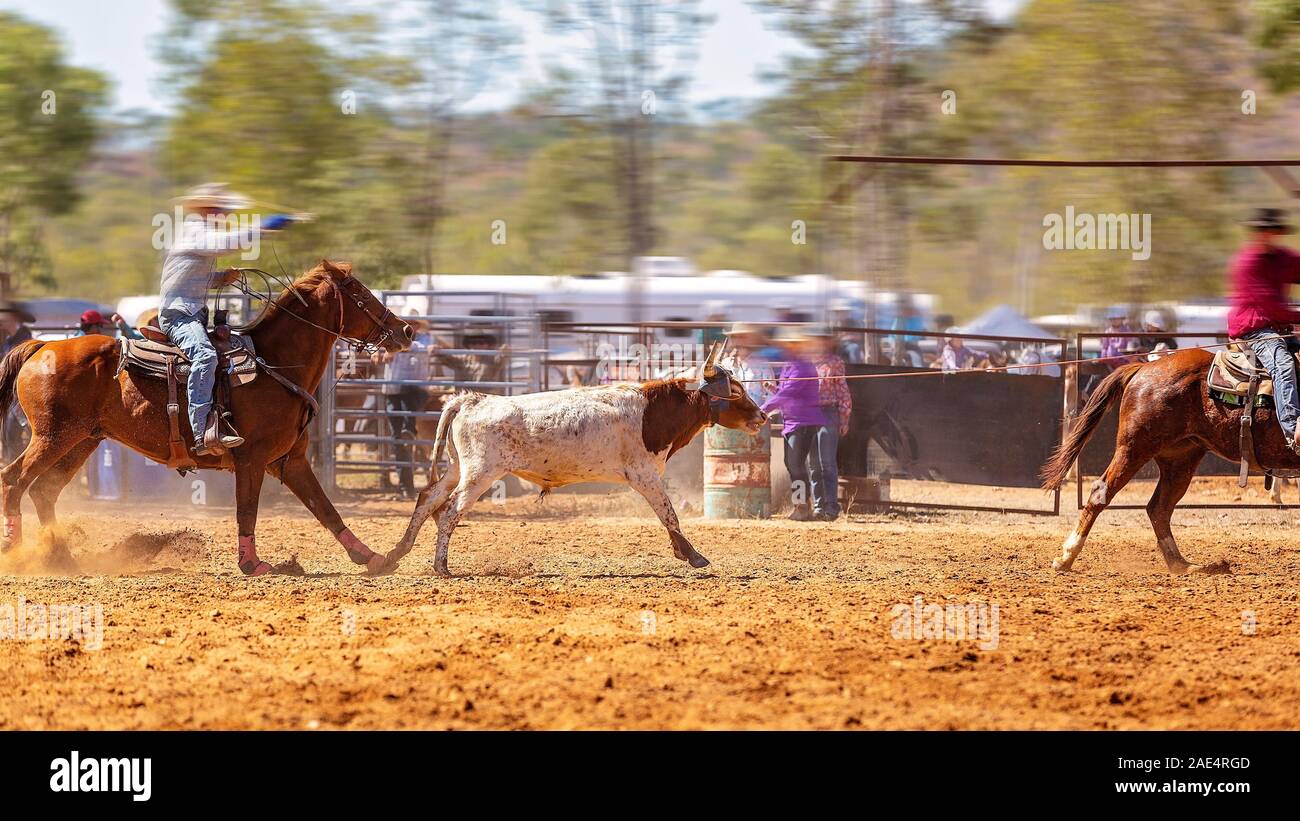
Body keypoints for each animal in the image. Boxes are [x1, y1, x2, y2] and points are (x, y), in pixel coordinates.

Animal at [380, 341, 767, 576]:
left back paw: (395, 554)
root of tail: (472, 400)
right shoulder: (644, 475)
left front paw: (683, 552)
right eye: (736, 391)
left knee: (426, 498)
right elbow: (669, 513)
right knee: (449, 512)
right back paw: (441, 566)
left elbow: (667, 514)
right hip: (479, 474)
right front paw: (692, 554)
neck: (652, 411)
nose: (762, 416)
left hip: (456, 468)